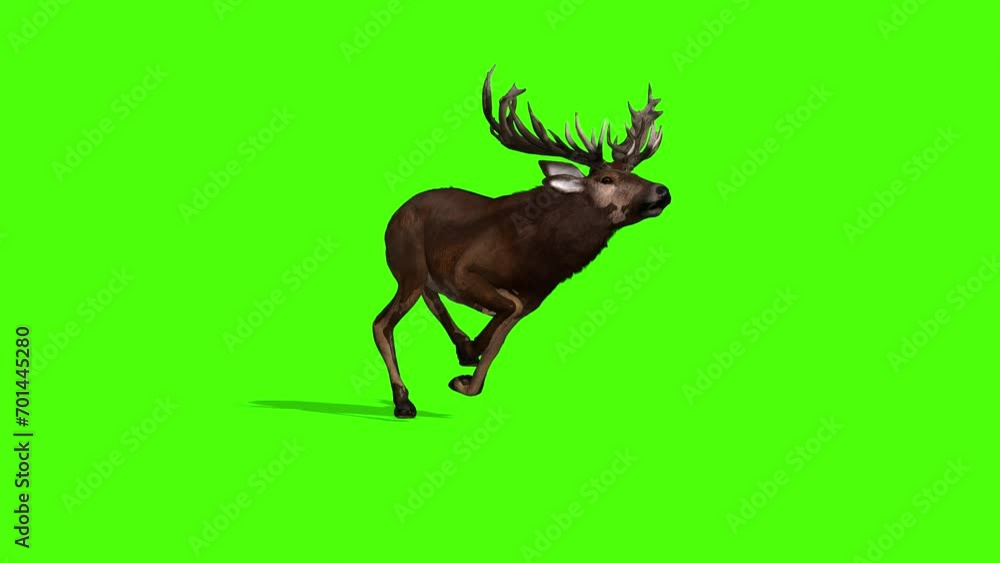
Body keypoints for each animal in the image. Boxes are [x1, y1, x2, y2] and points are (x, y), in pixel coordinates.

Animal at [373, 66, 671, 418]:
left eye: (634, 173)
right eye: (606, 179)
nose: (662, 191)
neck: (539, 259)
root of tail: (393, 217)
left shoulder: (534, 299)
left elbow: (498, 341)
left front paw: (467, 377)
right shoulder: (464, 270)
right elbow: (506, 309)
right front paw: (469, 357)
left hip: (422, 274)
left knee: (430, 299)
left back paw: (459, 345)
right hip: (409, 267)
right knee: (382, 323)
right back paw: (403, 400)